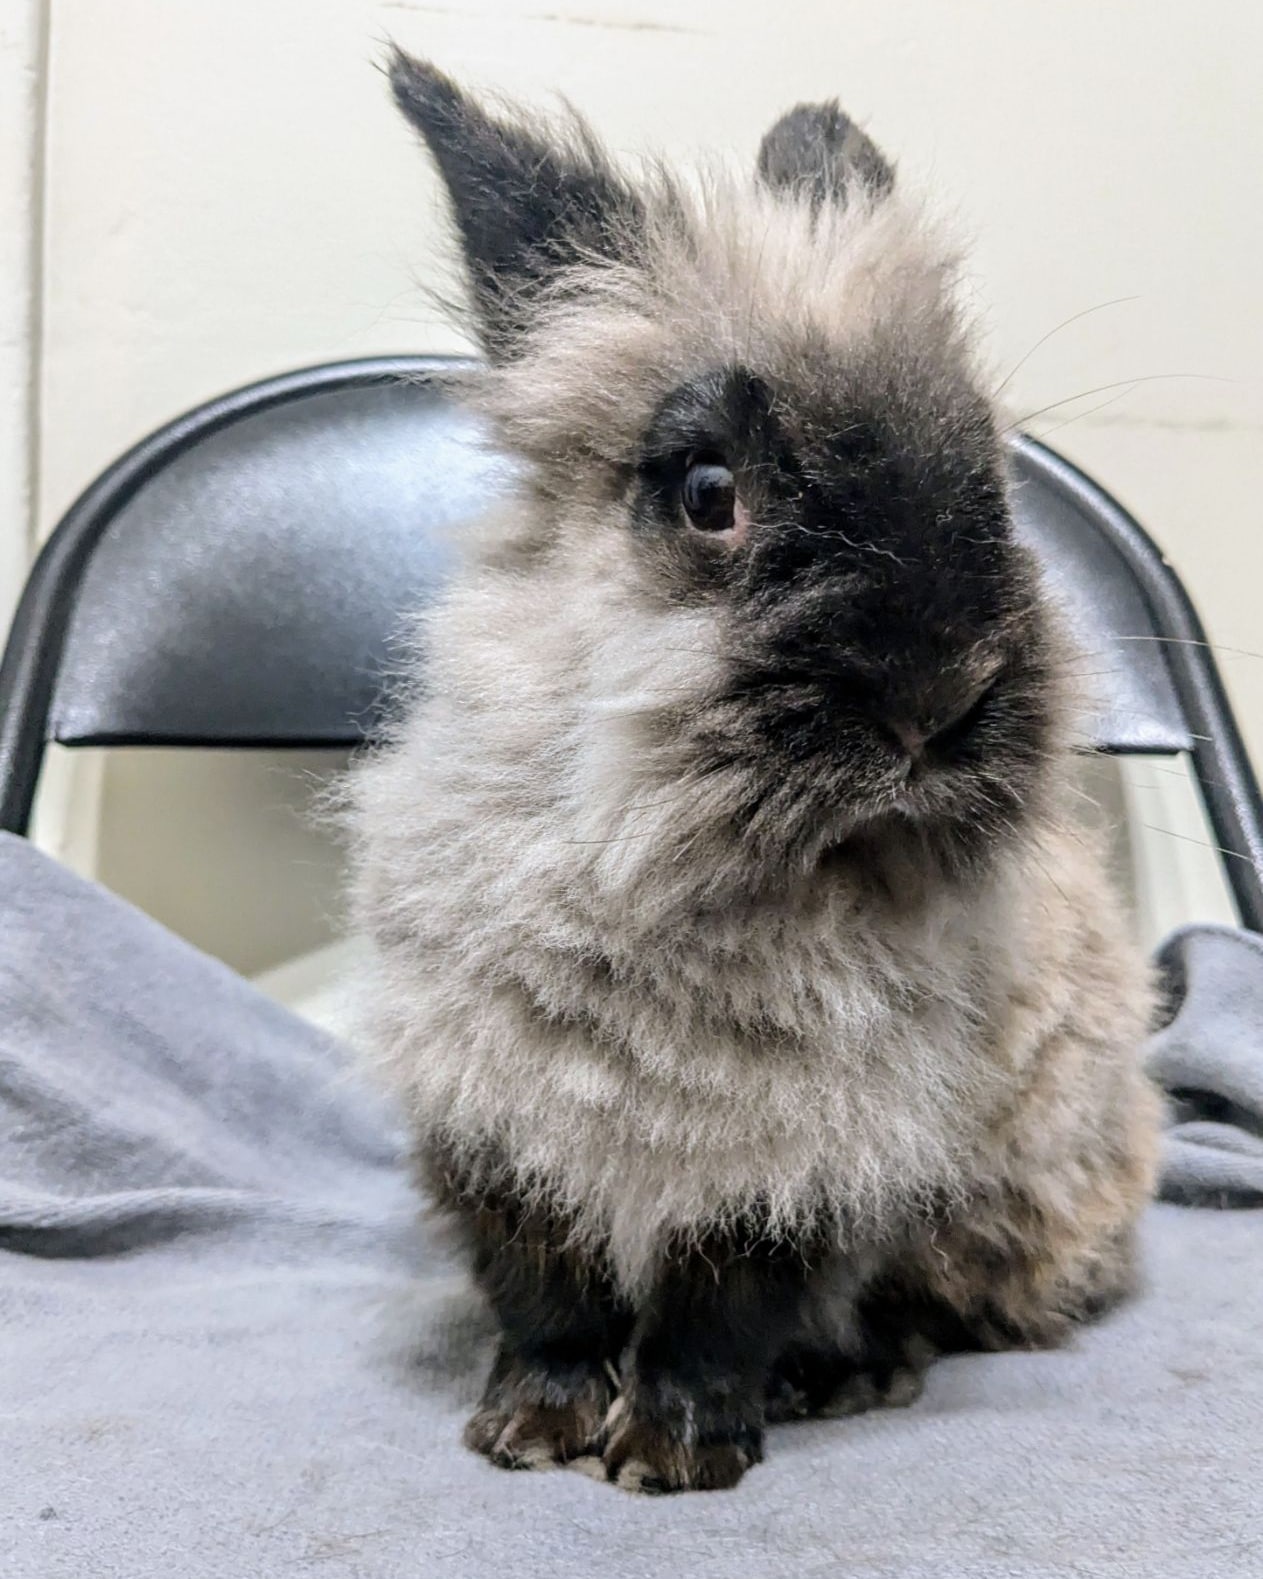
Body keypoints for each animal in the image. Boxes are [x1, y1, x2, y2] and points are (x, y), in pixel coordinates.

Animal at [346, 50, 1163, 1494]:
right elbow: (546, 1301)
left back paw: (845, 1376)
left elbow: (717, 1313)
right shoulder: (498, 1134)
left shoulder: (795, 1168)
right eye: (706, 491)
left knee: (931, 1309)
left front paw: (666, 1457)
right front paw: (527, 1434)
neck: (675, 884)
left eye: (987, 473)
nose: (936, 696)